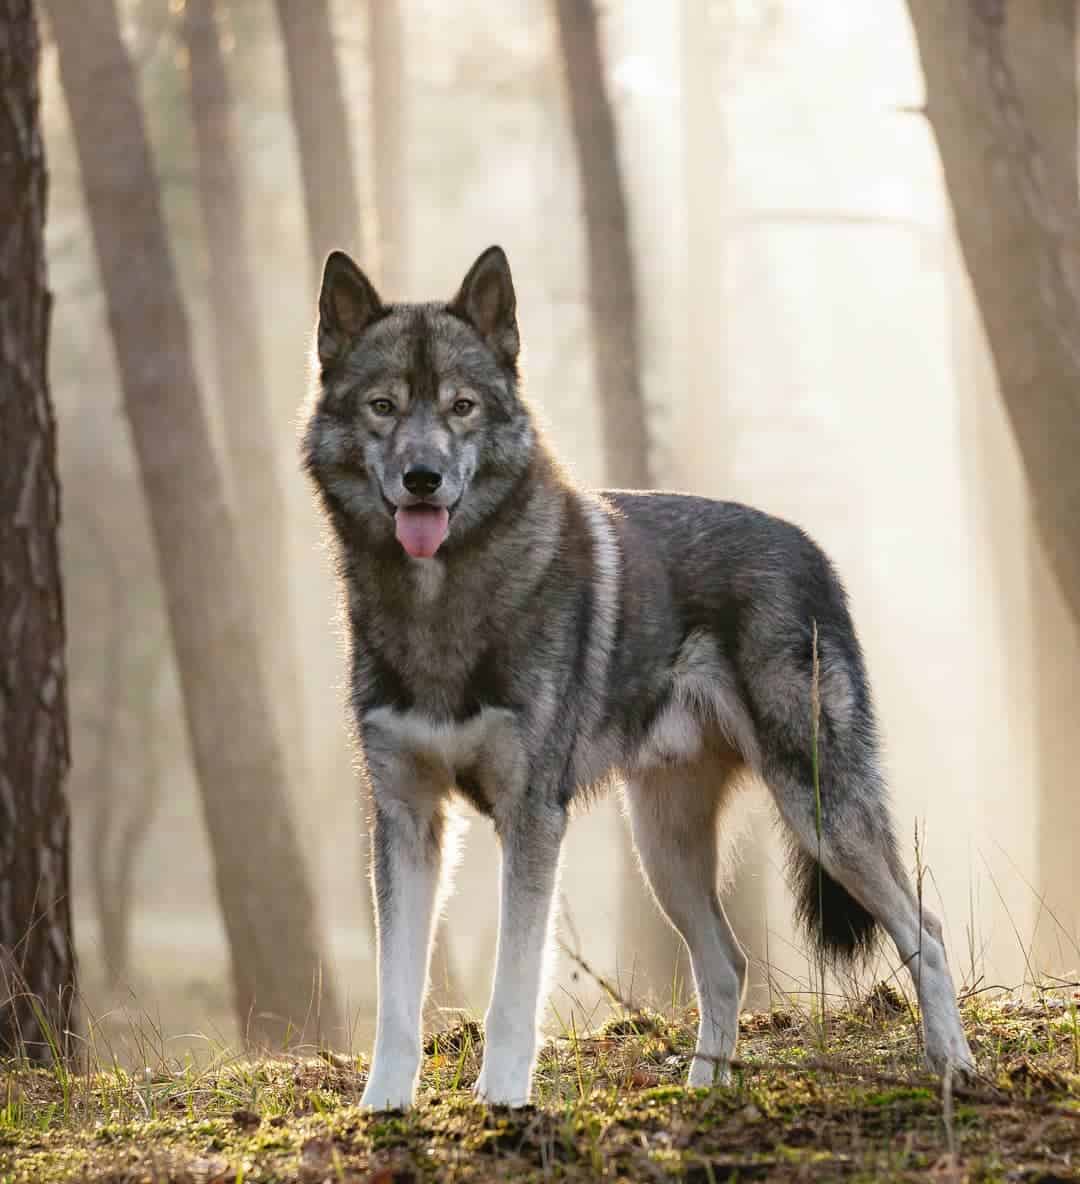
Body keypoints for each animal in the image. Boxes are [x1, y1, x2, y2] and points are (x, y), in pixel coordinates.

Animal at [301, 245, 975, 1111]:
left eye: (461, 408)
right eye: (383, 406)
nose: (423, 478)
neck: (441, 605)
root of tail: (810, 548)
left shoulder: (532, 818)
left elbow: (512, 987)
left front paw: (504, 1103)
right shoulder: (407, 818)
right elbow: (396, 991)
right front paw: (383, 1109)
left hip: (821, 812)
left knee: (925, 932)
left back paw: (954, 1065)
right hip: (665, 849)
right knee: (728, 966)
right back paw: (701, 1094)